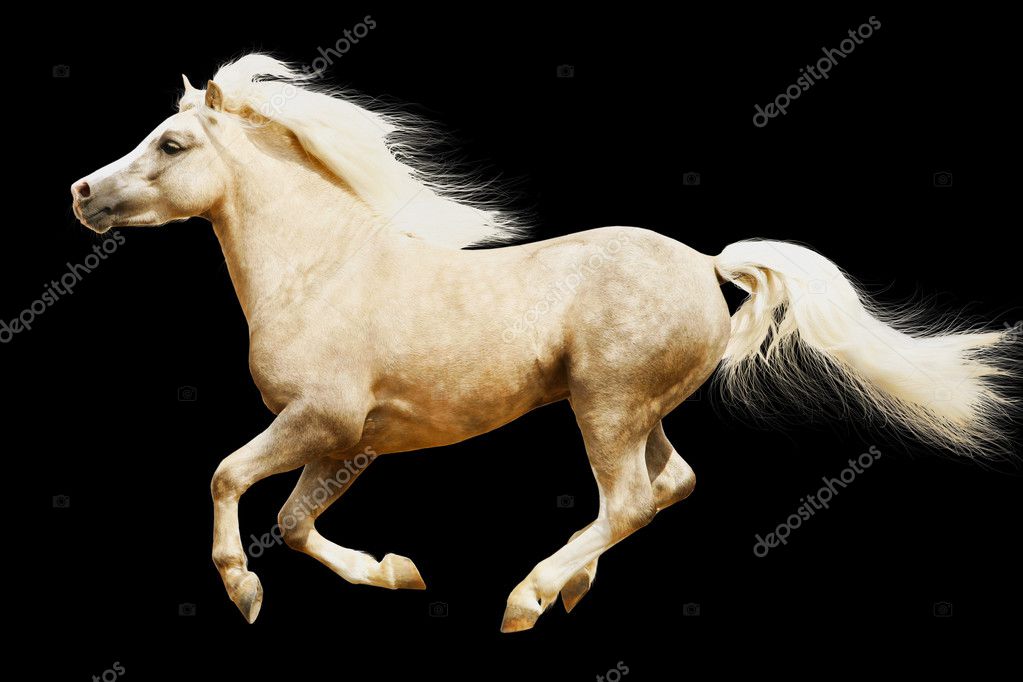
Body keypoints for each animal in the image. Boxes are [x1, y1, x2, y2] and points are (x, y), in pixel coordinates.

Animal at [69, 55, 1018, 632]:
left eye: (171, 142)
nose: (81, 192)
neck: (322, 270)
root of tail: (707, 264)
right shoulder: (350, 444)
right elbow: (298, 522)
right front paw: (397, 573)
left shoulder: (320, 423)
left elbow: (228, 478)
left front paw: (241, 589)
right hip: (638, 412)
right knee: (669, 484)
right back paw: (571, 586)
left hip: (606, 406)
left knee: (629, 500)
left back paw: (528, 598)